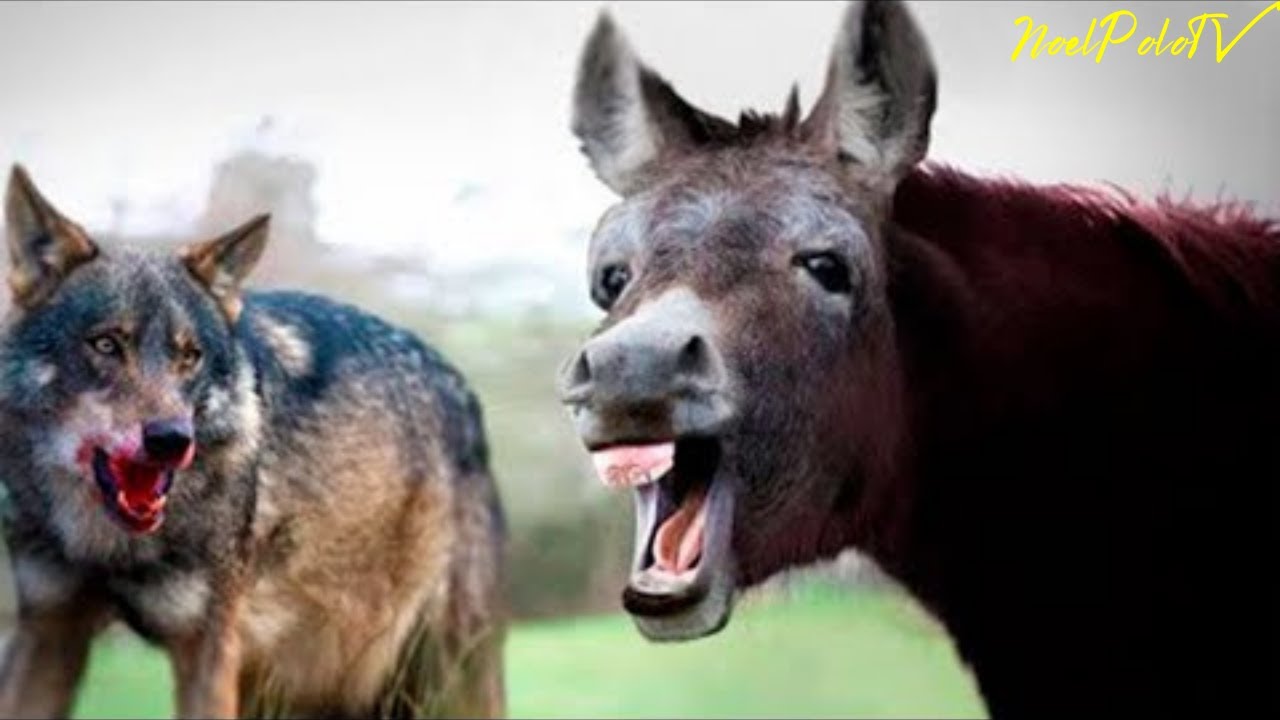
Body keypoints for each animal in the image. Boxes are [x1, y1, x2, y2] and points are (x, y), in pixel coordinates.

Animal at [0, 166, 507, 719]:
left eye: (189, 356)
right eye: (107, 345)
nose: (172, 440)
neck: (107, 548)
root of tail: (463, 391)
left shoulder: (208, 644)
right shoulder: (49, 629)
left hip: (443, 672)